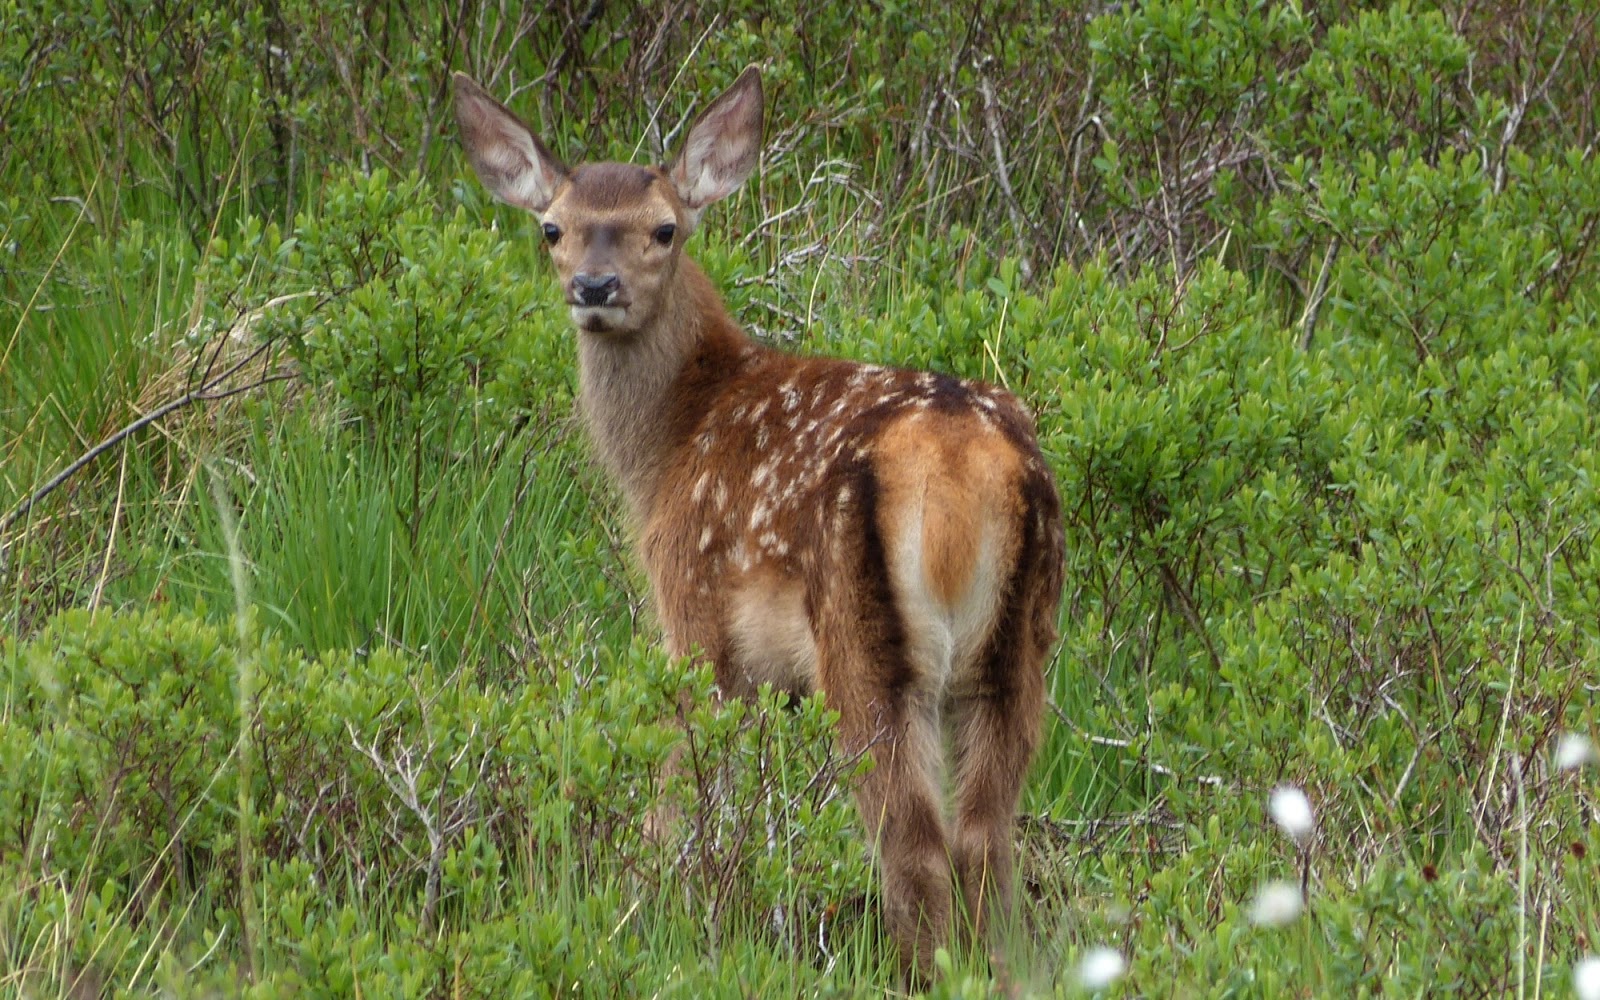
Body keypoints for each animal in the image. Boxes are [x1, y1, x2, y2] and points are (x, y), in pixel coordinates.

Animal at [452, 65, 1065, 977]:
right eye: (553, 228)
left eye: (664, 228)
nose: (594, 288)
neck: (670, 445)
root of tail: (962, 466)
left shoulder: (694, 614)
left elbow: (681, 785)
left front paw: (651, 906)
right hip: (1019, 649)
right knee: (986, 839)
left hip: (862, 640)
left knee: (912, 842)